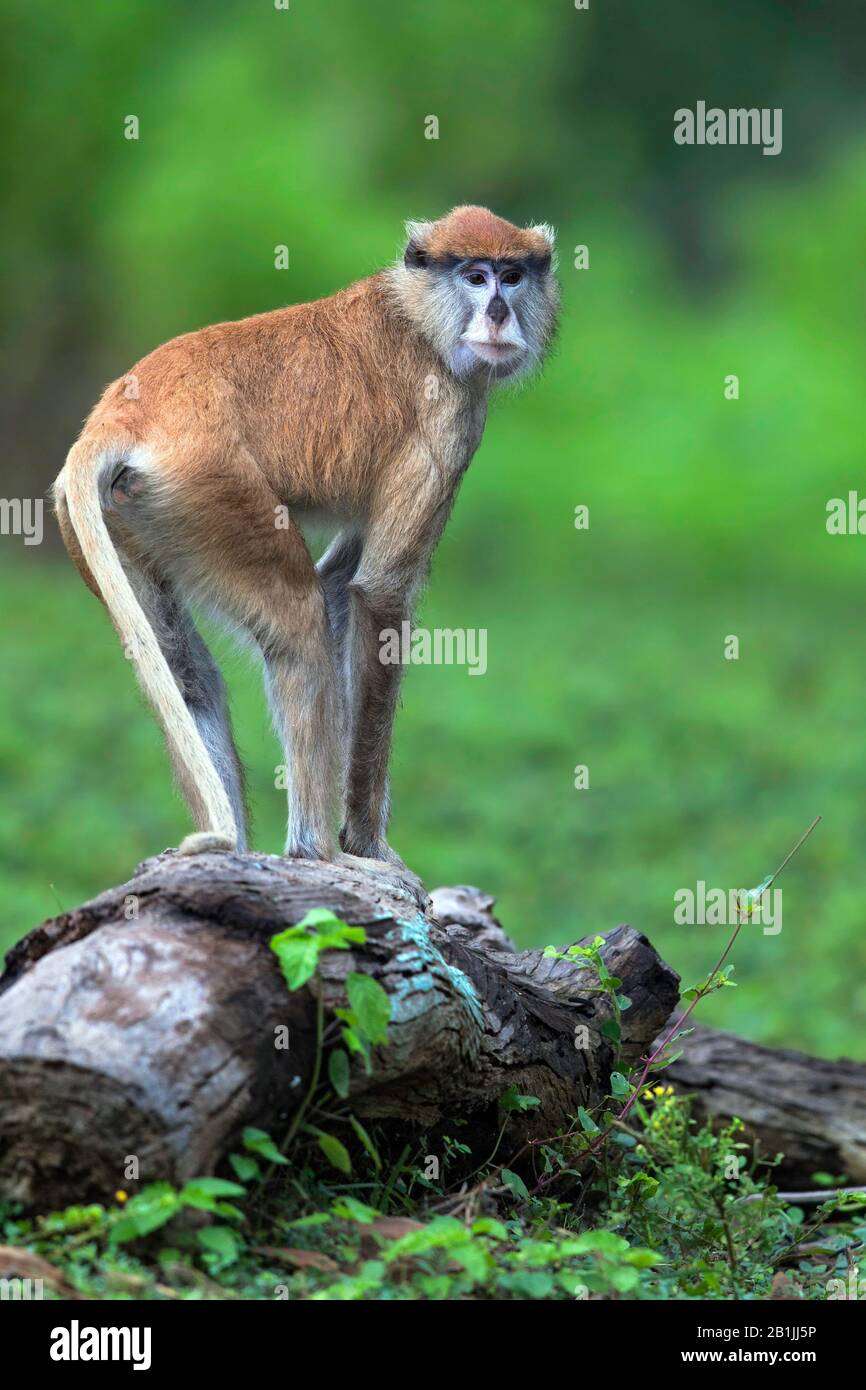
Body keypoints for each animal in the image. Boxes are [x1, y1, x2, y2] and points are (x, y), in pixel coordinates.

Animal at [53, 205, 558, 897]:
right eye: (476, 277)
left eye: (513, 275)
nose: (500, 313)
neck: (417, 315)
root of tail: (119, 420)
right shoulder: (448, 416)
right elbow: (378, 594)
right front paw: (369, 844)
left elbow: (342, 580)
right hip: (214, 488)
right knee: (297, 624)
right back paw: (316, 852)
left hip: (128, 517)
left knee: (186, 671)